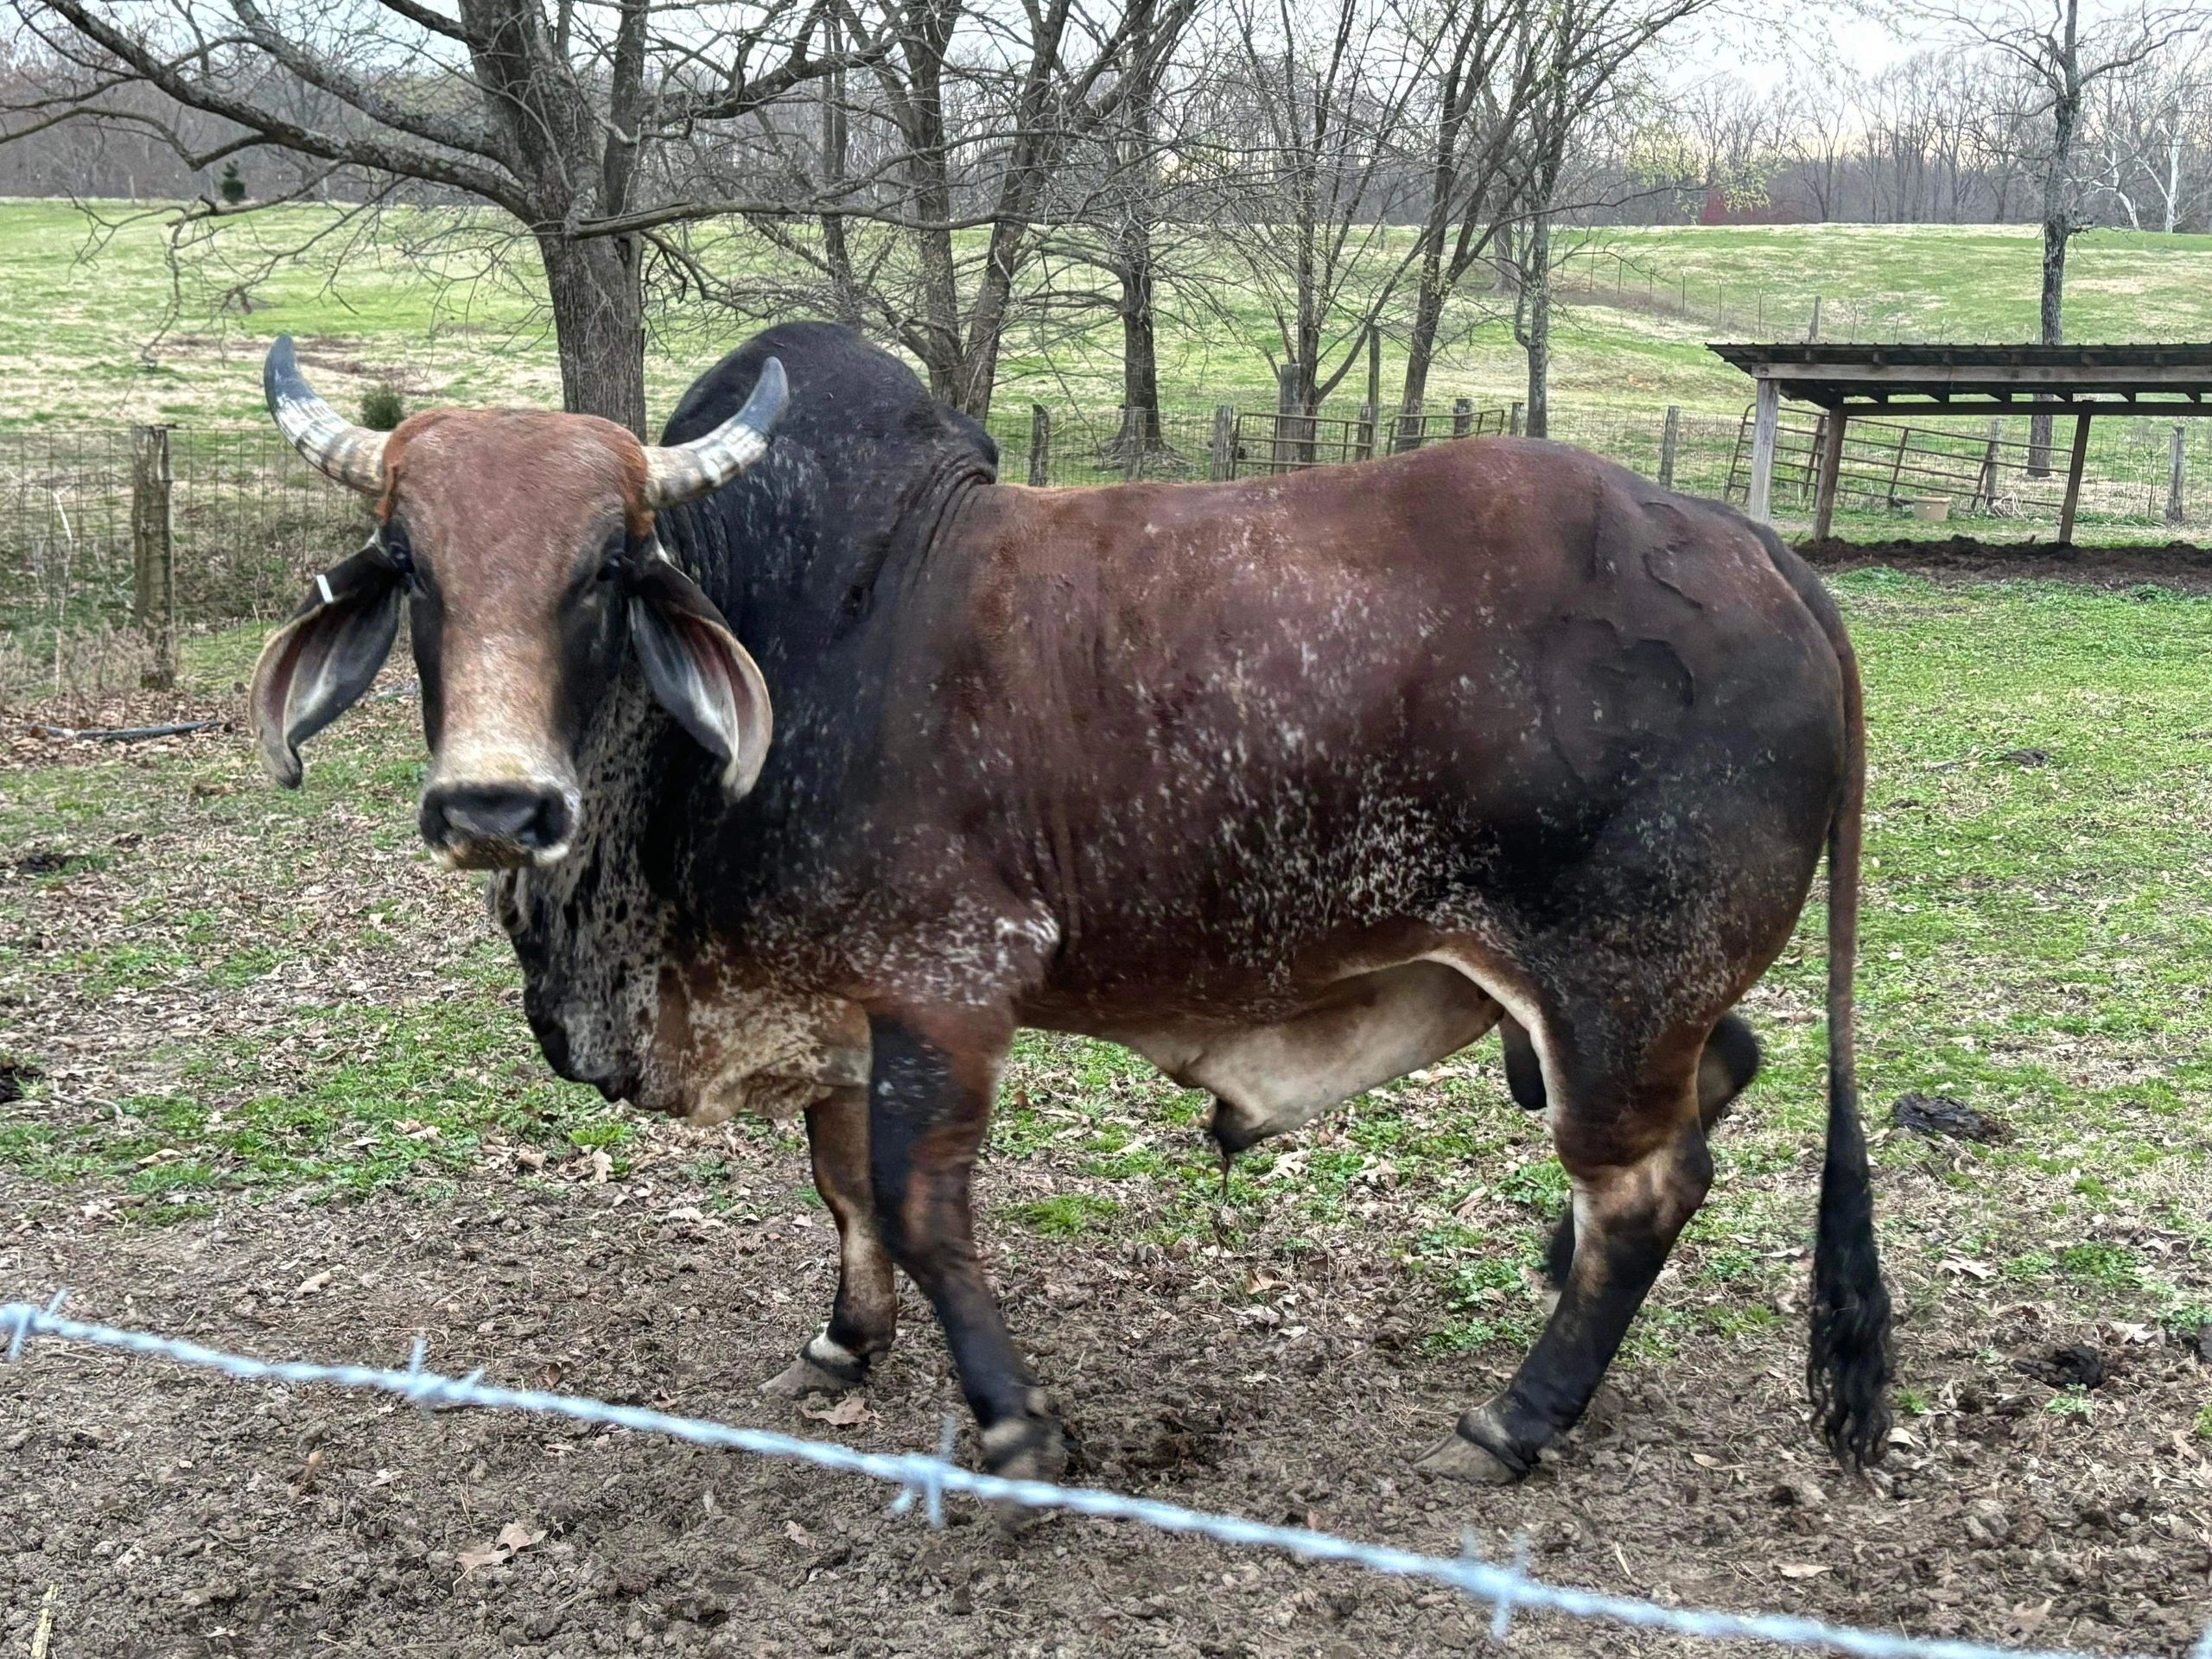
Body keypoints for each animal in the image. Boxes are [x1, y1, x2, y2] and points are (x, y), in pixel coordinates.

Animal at [247, 321, 1891, 1491]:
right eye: (407, 565)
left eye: (611, 567)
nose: (496, 808)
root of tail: (1763, 555)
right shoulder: (844, 1001)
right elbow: (843, 1188)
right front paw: (843, 1346)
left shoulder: (949, 982)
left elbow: (919, 1203)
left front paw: (1018, 1425)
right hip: (1603, 1004)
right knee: (1722, 1084)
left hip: (1618, 988)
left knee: (1647, 1188)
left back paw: (1519, 1416)